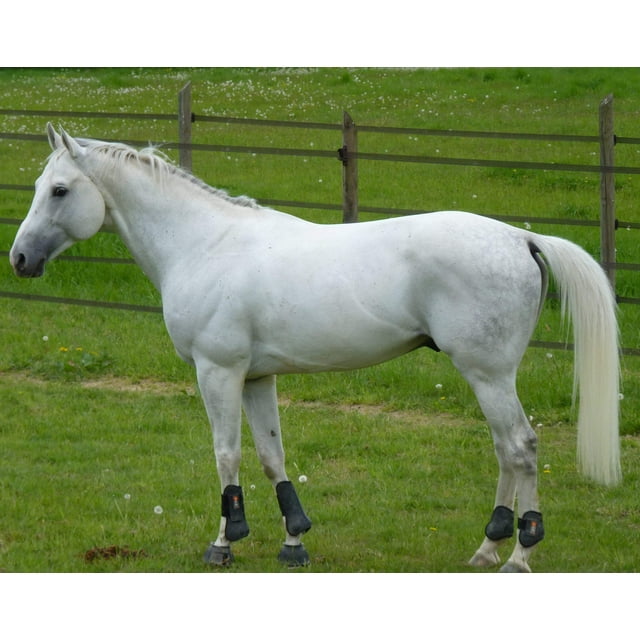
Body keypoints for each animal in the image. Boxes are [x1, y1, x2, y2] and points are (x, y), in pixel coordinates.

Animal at [9, 124, 621, 572]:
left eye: (59, 190)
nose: (19, 258)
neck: (205, 244)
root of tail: (520, 237)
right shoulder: (256, 377)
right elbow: (271, 456)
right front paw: (294, 540)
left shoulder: (218, 372)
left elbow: (226, 454)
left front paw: (224, 543)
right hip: (488, 377)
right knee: (505, 450)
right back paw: (488, 546)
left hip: (487, 374)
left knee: (520, 446)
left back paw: (518, 554)